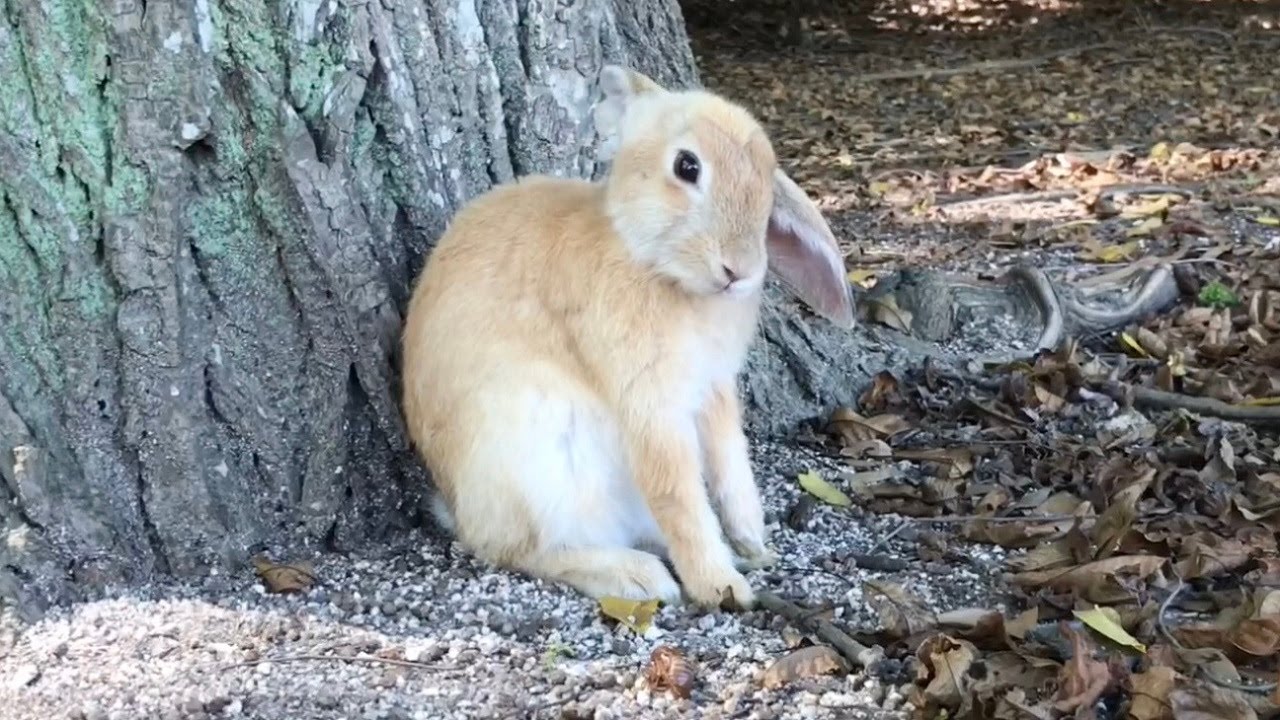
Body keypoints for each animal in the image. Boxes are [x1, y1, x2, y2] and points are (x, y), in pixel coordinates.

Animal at [400, 64, 854, 610]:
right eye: (686, 166)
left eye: (767, 176)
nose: (740, 270)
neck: (652, 261)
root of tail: (454, 506)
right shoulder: (650, 403)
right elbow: (676, 491)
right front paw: (721, 586)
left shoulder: (713, 387)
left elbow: (731, 459)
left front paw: (752, 540)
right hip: (535, 462)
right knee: (524, 549)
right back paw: (637, 577)